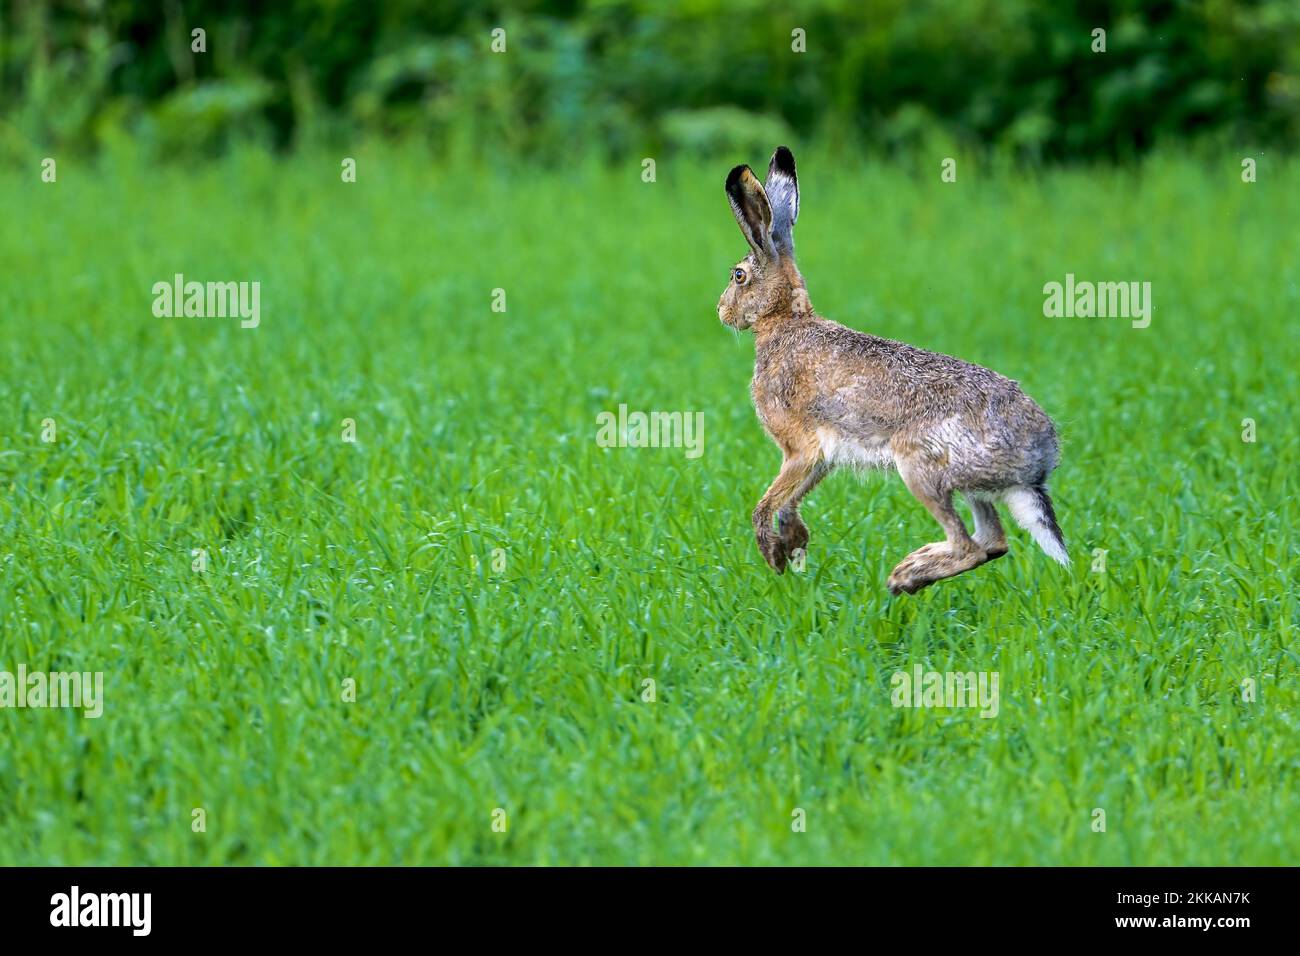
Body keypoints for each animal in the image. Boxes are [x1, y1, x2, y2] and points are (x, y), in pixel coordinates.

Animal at [718, 146, 1068, 595]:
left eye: (739, 276)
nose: (722, 311)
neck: (784, 320)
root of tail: (1038, 459)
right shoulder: (819, 458)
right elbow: (789, 502)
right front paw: (795, 544)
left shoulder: (801, 449)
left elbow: (766, 505)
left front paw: (776, 557)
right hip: (973, 488)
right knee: (993, 542)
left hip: (921, 468)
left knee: (970, 546)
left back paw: (904, 576)